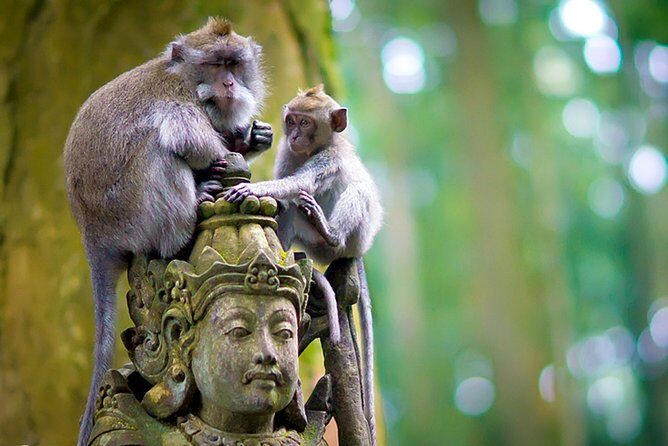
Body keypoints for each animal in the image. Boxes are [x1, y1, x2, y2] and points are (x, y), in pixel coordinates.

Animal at [63, 18, 272, 446]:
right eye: (215, 64)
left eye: (234, 64)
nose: (229, 83)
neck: (185, 79)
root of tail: (91, 232)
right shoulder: (178, 100)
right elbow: (190, 139)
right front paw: (230, 150)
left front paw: (250, 137)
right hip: (130, 209)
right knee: (157, 150)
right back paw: (187, 220)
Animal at [223, 84, 383, 445]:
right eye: (291, 120)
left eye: (306, 123)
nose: (295, 134)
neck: (315, 148)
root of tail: (355, 252)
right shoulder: (287, 154)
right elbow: (286, 191)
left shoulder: (330, 158)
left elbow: (300, 183)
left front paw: (251, 188)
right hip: (312, 244)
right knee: (292, 209)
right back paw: (284, 253)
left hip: (358, 234)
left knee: (357, 192)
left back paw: (331, 233)